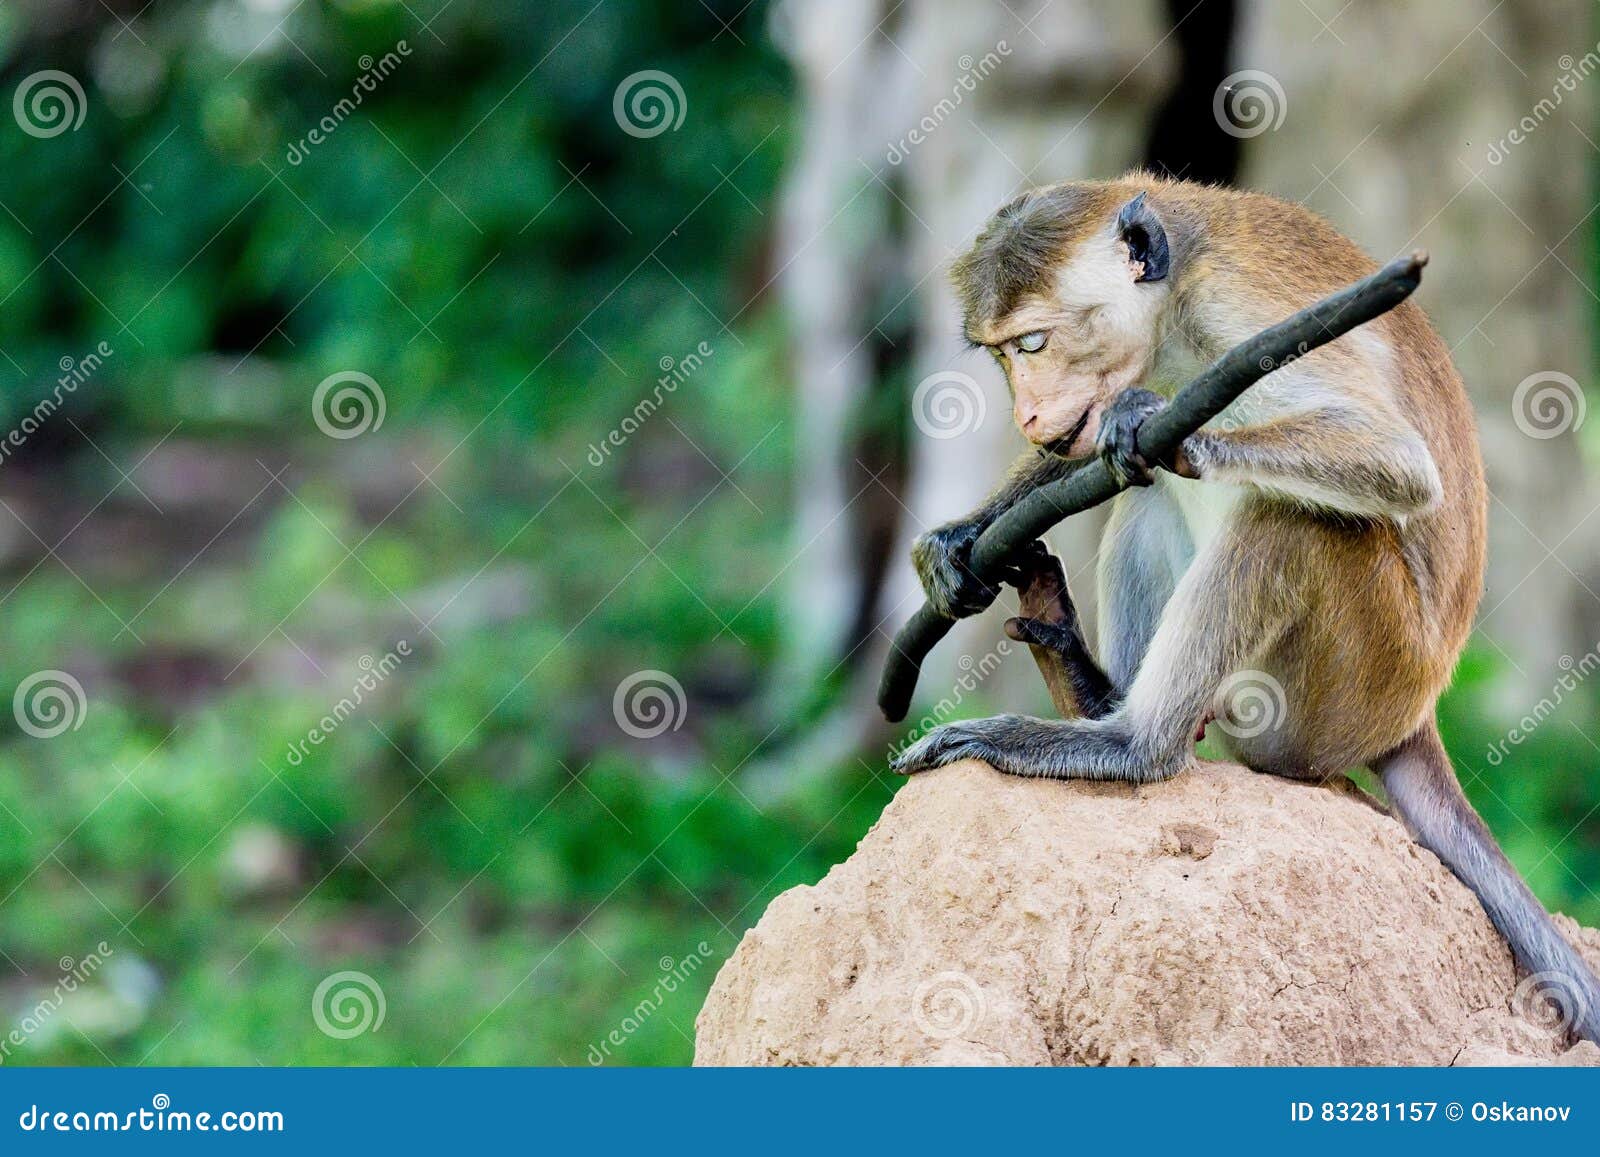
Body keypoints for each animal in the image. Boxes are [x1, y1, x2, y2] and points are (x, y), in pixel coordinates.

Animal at [894, 174, 1600, 1043]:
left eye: (1031, 344)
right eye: (1000, 353)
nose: (1026, 412)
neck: (1173, 308)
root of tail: (1417, 713)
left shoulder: (1239, 313)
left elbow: (1397, 462)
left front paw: (1150, 425)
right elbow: (1094, 459)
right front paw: (958, 539)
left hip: (1352, 683)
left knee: (1289, 517)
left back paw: (1132, 742)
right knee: (1150, 496)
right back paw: (1093, 691)